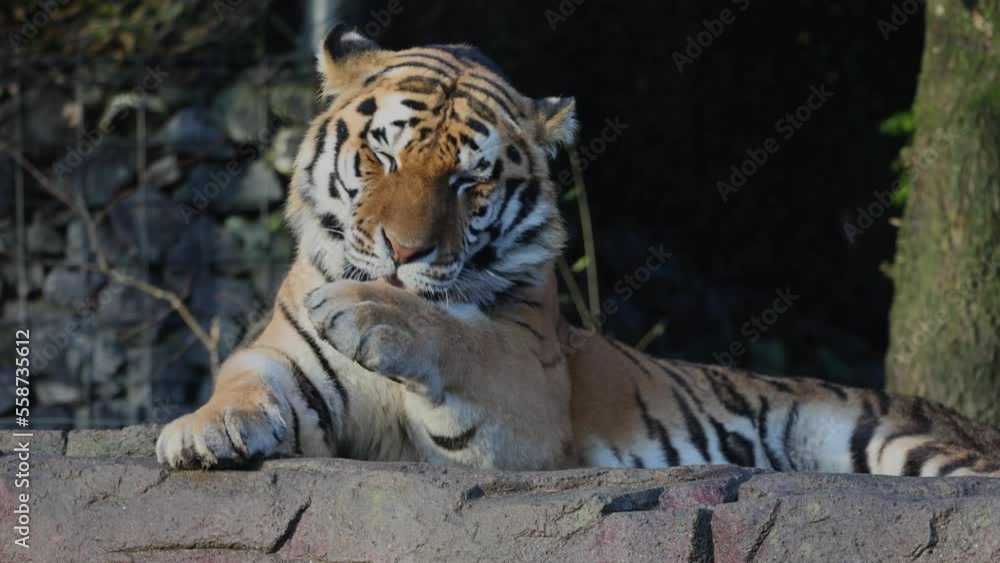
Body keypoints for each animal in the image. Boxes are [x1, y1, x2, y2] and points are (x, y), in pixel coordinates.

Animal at [157, 25, 1000, 478]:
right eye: (384, 156)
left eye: (469, 182)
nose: (402, 252)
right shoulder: (283, 356)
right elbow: (243, 379)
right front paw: (201, 430)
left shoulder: (527, 402)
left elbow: (463, 340)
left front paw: (372, 311)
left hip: (901, 440)